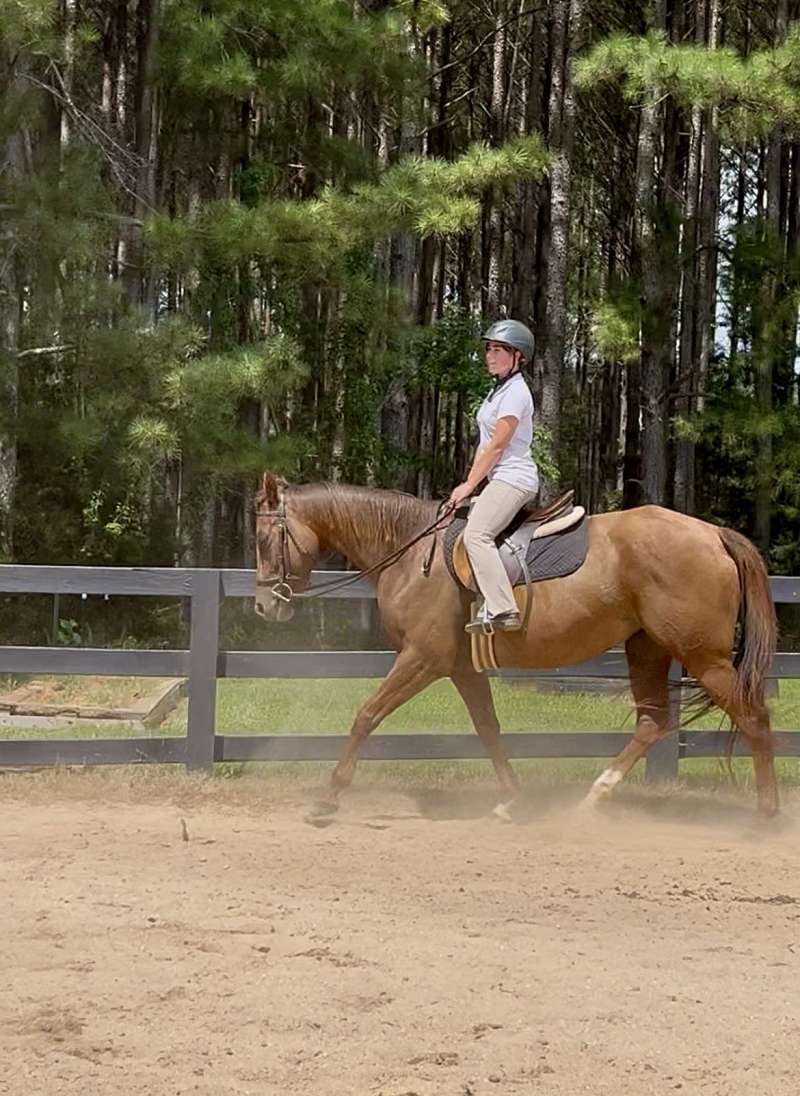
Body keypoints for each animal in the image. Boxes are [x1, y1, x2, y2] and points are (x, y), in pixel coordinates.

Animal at [253, 471, 779, 817]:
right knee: (653, 722)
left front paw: (329, 796)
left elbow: (367, 714)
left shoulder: (421, 659)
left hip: (703, 657)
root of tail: (713, 533)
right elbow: (489, 728)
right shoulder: (461, 668)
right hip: (647, 648)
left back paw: (767, 812)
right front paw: (510, 798)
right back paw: (593, 798)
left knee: (753, 717)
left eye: (262, 538)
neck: (410, 552)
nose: (263, 607)